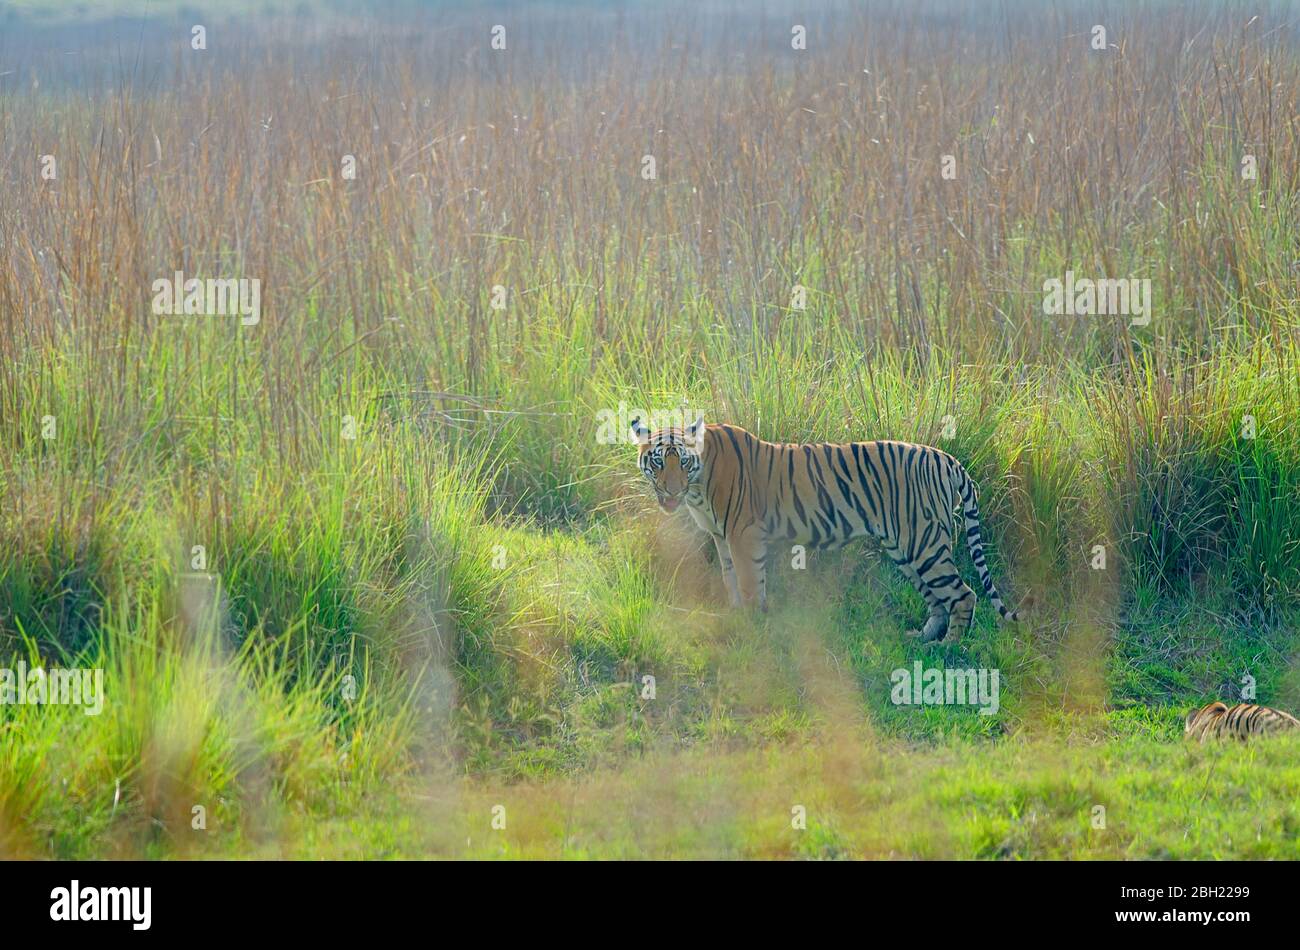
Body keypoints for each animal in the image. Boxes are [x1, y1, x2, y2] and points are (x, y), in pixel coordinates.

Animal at [630, 415, 1024, 644]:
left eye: (683, 461)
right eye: (657, 461)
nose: (671, 492)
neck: (698, 487)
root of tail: (947, 458)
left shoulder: (743, 536)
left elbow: (750, 584)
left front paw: (752, 627)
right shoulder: (722, 538)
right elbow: (731, 583)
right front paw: (737, 618)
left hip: (924, 543)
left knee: (964, 594)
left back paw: (948, 649)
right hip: (906, 549)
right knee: (937, 599)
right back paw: (921, 640)